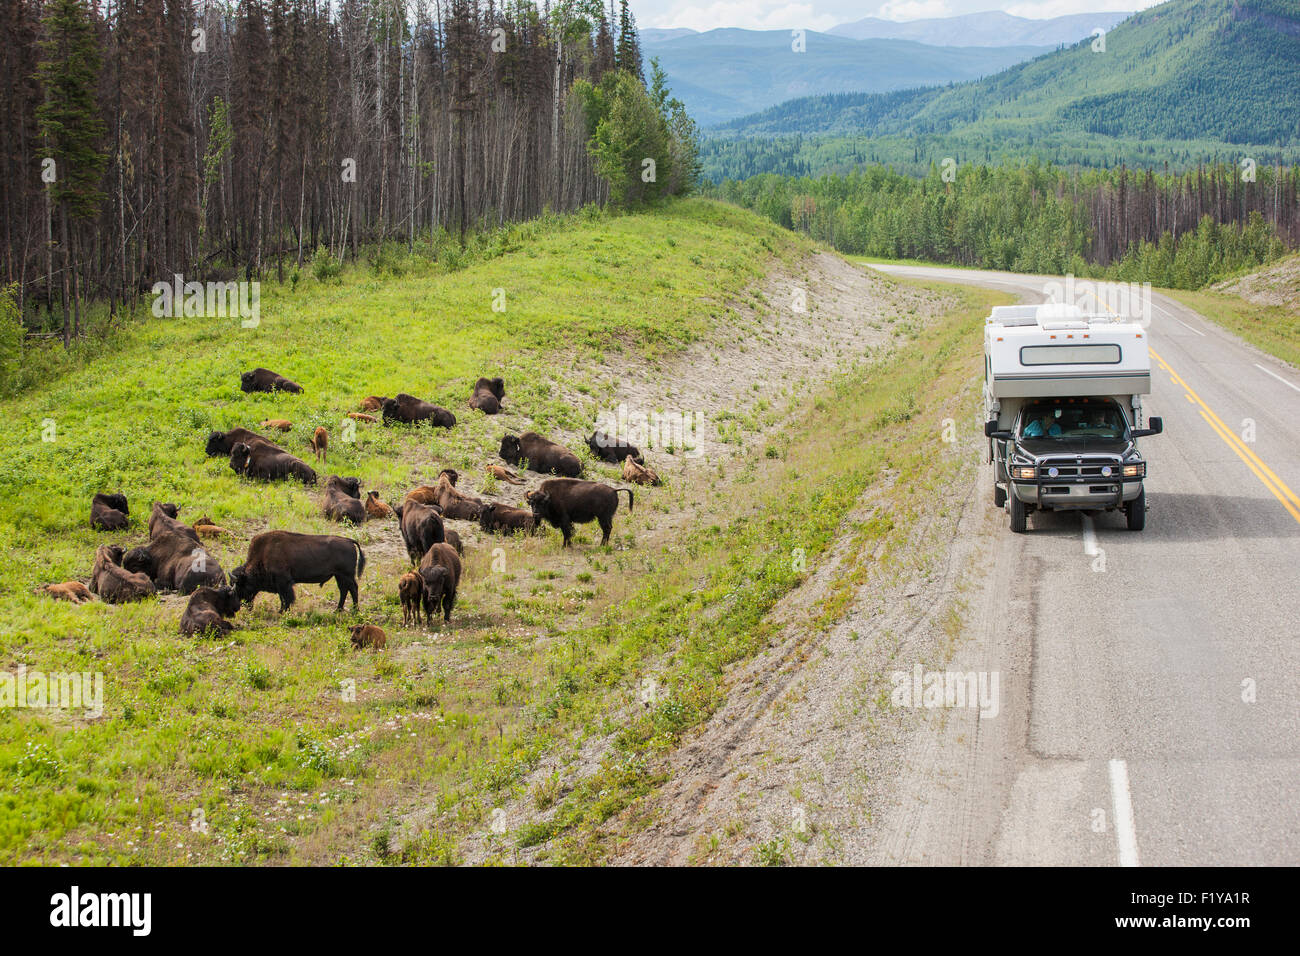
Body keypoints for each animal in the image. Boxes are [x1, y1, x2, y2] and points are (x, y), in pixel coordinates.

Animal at [230, 531, 366, 613]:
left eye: (240, 585)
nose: (243, 605)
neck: (263, 556)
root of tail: (349, 541)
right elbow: (282, 597)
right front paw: (282, 610)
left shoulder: (284, 582)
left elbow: (286, 597)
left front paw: (282, 611)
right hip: (339, 576)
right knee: (344, 590)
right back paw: (338, 610)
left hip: (346, 575)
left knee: (353, 588)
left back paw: (354, 610)